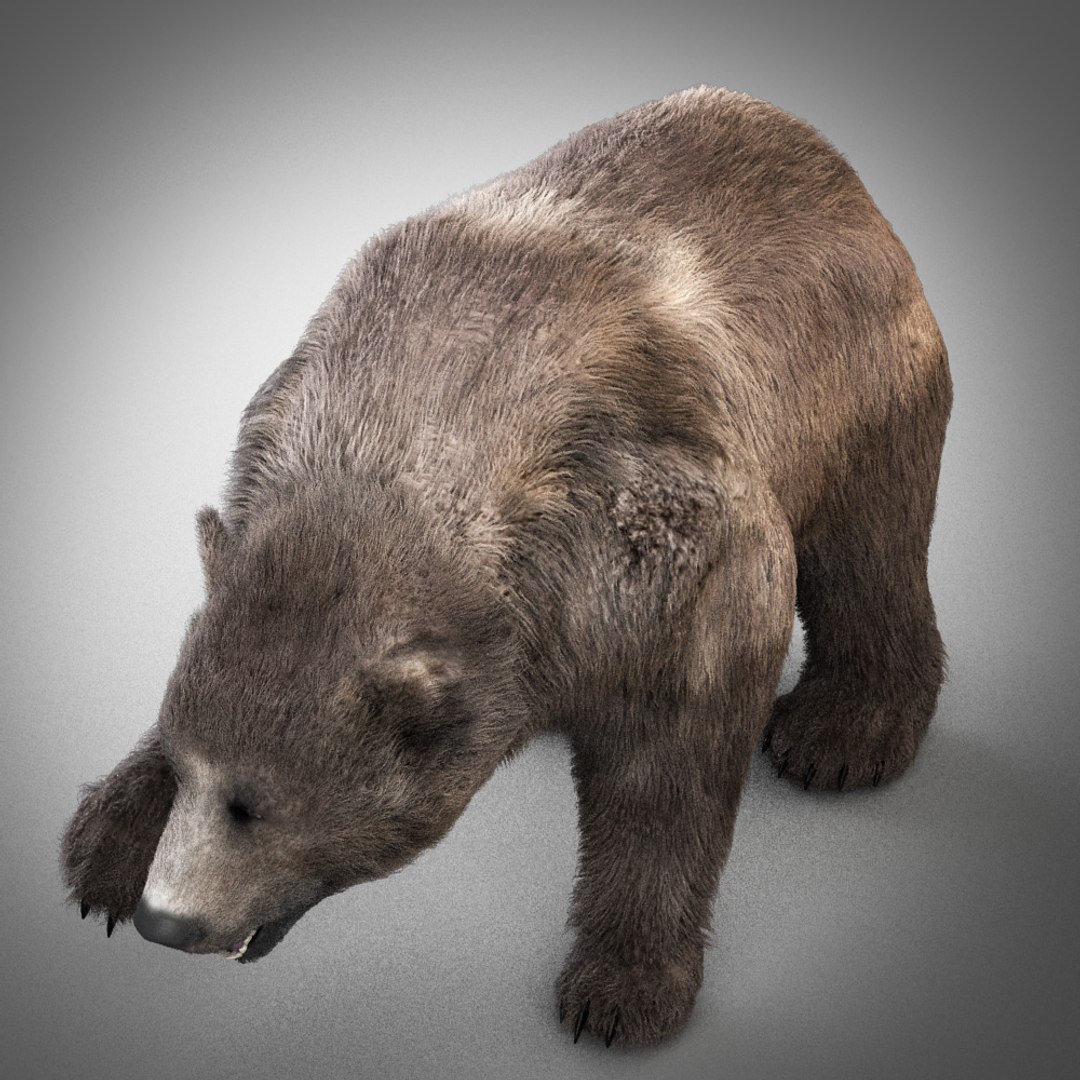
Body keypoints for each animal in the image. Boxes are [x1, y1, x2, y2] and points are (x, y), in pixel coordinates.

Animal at [60, 86, 951, 1048]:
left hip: (859, 392)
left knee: (871, 554)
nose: (167, 920)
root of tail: (822, 158)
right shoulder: (279, 422)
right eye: (192, 770)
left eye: (253, 804)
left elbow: (670, 765)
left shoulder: (662, 553)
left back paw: (843, 733)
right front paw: (103, 843)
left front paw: (620, 990)